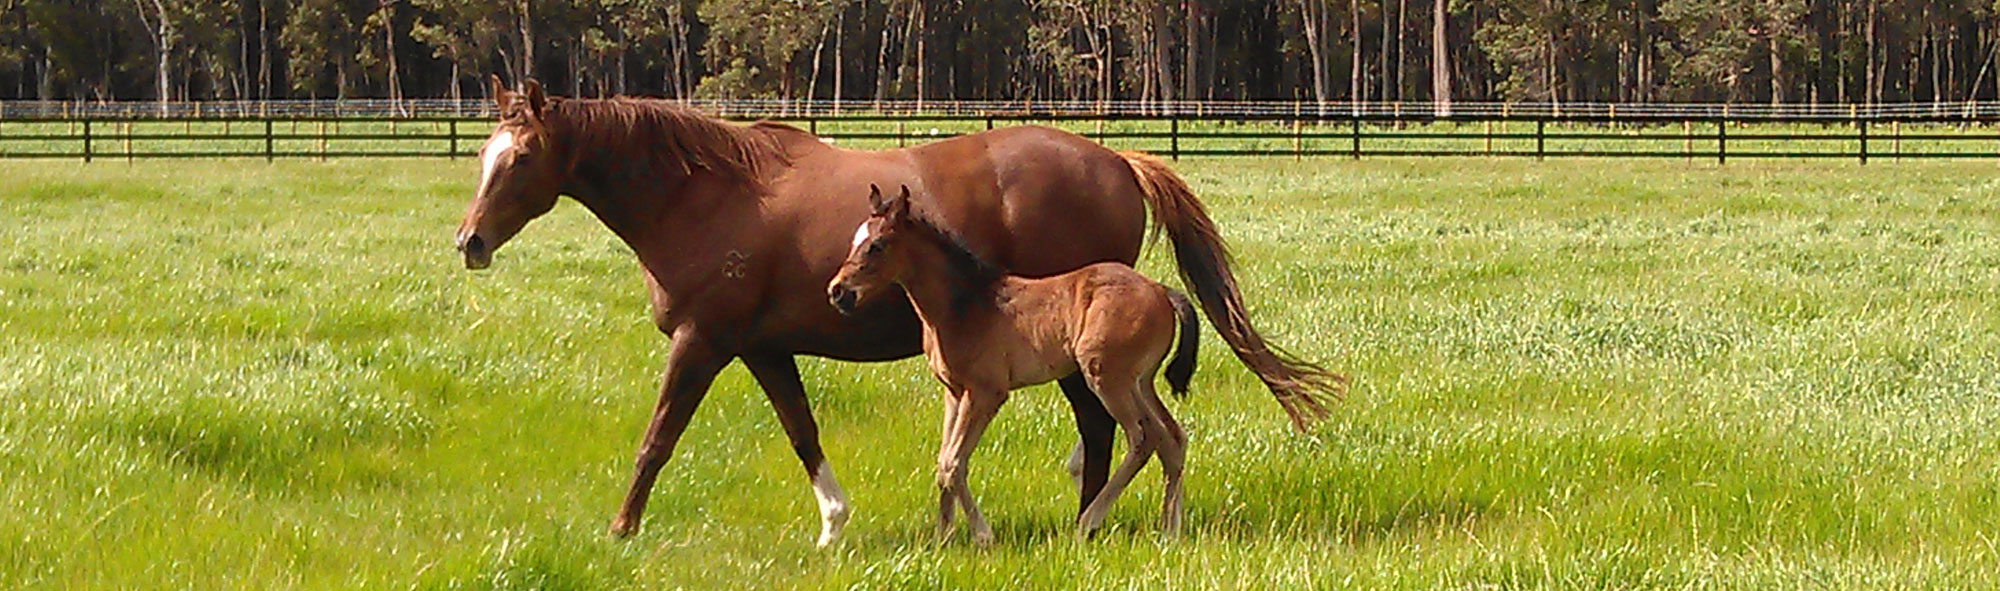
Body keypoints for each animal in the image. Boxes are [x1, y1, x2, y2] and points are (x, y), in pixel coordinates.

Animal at [829, 184, 1198, 542]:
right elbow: (943, 463)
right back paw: (1170, 530)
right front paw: (942, 538)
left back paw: (1088, 523)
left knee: (1142, 438)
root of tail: (1162, 290)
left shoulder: (986, 393)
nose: (837, 292)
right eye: (854, 240)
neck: (963, 305)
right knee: (1172, 438)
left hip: (1106, 377)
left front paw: (982, 534)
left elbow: (953, 463)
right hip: (1139, 382)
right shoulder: (954, 393)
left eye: (877, 245)